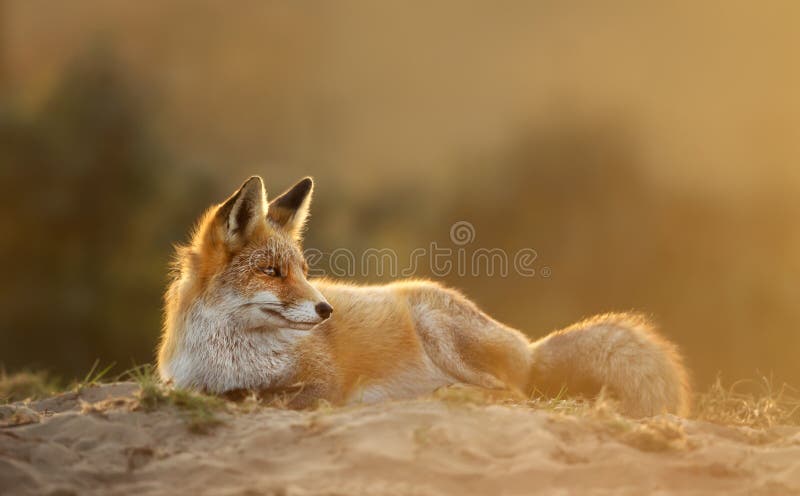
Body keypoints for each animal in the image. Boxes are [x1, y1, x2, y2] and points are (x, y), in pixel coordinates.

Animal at [158, 176, 691, 417]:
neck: (228, 354)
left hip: (436, 324)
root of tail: (529, 345)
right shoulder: (179, 379)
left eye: (305, 272)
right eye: (272, 272)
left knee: (514, 394)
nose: (326, 309)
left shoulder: (322, 383)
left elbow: (253, 395)